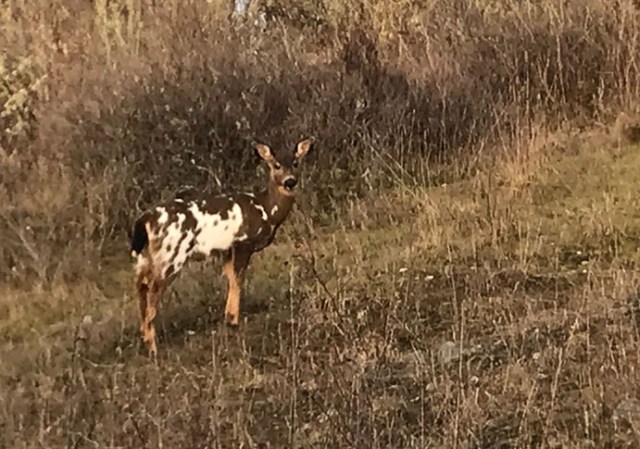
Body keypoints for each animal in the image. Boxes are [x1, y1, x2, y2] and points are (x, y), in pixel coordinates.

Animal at [129, 138, 313, 356]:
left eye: (295, 162)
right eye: (276, 165)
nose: (290, 181)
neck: (266, 209)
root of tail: (145, 220)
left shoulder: (226, 249)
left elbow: (231, 280)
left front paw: (229, 318)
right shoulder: (243, 242)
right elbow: (239, 279)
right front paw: (234, 321)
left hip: (145, 256)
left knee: (141, 285)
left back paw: (144, 336)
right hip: (171, 254)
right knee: (153, 289)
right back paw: (152, 346)